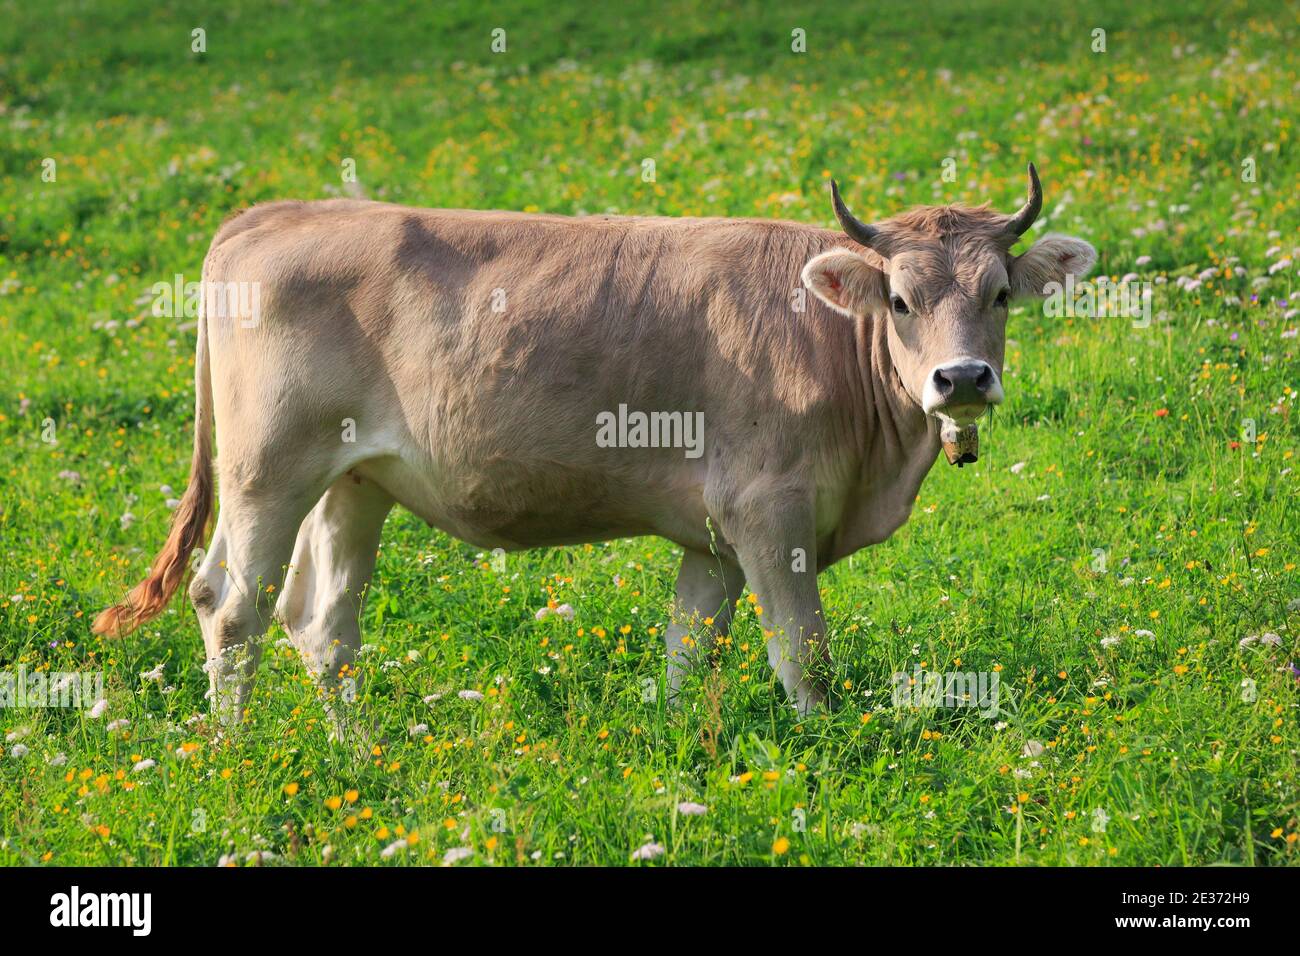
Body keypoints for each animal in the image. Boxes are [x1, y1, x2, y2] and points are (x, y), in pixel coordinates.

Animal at [94, 164, 1096, 726]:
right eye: (899, 299)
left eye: (1000, 292)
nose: (961, 380)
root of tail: (271, 213)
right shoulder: (771, 514)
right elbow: (801, 656)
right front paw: (824, 754)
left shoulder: (714, 534)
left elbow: (688, 651)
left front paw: (686, 750)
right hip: (268, 469)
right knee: (231, 606)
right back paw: (235, 755)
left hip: (353, 481)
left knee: (320, 624)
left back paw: (359, 758)